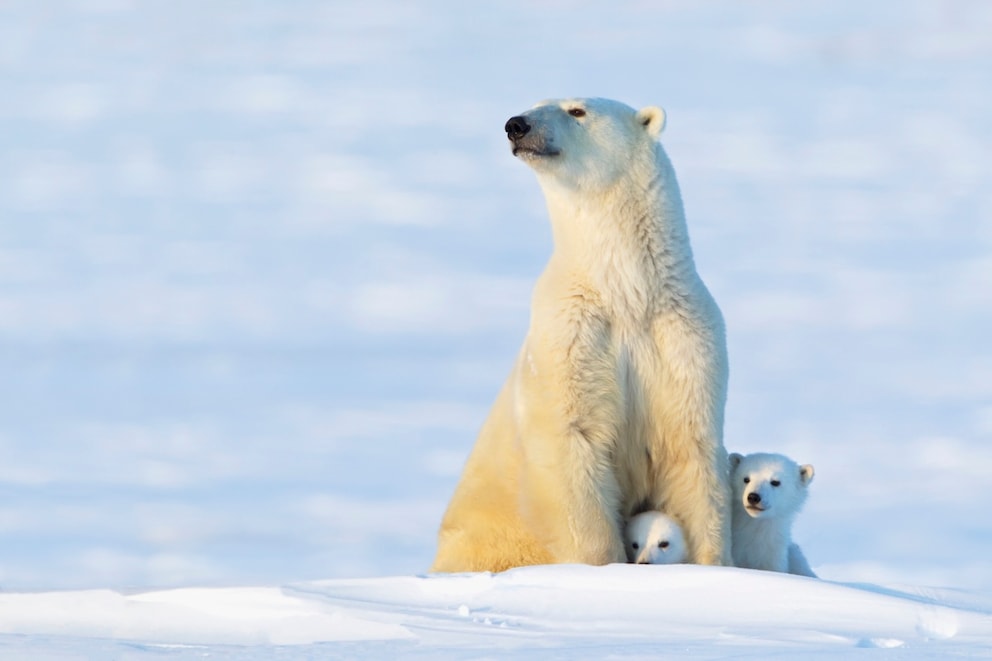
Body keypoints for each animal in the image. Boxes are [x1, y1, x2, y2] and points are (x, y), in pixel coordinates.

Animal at [430, 97, 731, 573]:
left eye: (577, 110)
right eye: (534, 104)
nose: (516, 125)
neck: (627, 292)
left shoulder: (683, 337)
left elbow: (690, 447)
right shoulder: (571, 334)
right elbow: (574, 439)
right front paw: (601, 567)